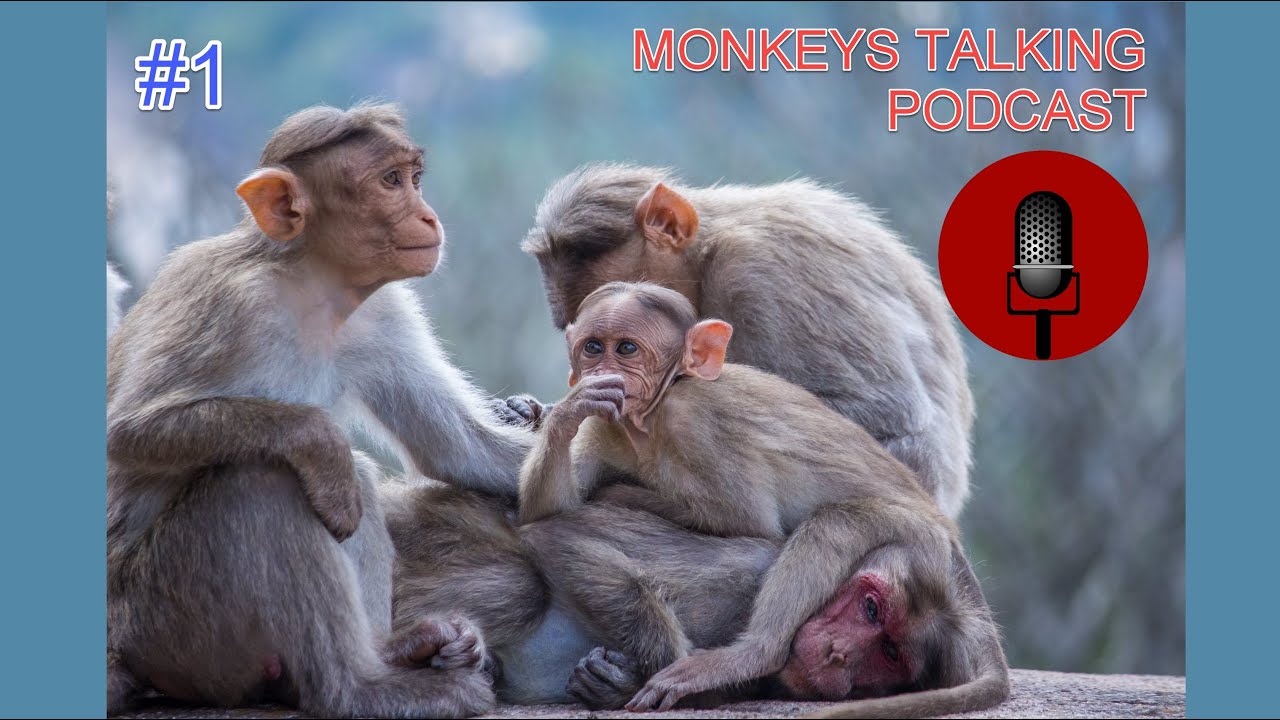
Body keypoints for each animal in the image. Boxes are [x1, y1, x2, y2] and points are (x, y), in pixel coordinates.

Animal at [107, 102, 534, 718]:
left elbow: (457, 448)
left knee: (343, 483)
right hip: (166, 625)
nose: (428, 217)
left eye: (414, 178)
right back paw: (357, 688)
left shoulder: (384, 311)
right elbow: (126, 431)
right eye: (390, 181)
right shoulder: (231, 303)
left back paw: (395, 650)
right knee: (268, 480)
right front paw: (319, 440)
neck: (311, 283)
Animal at [515, 281, 1007, 713]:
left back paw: (753, 654)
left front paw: (616, 490)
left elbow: (748, 523)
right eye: (593, 347)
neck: (651, 418)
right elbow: (550, 505)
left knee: (839, 522)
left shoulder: (695, 423)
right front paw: (560, 414)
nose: (601, 370)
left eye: (627, 349)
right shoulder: (605, 425)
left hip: (918, 535)